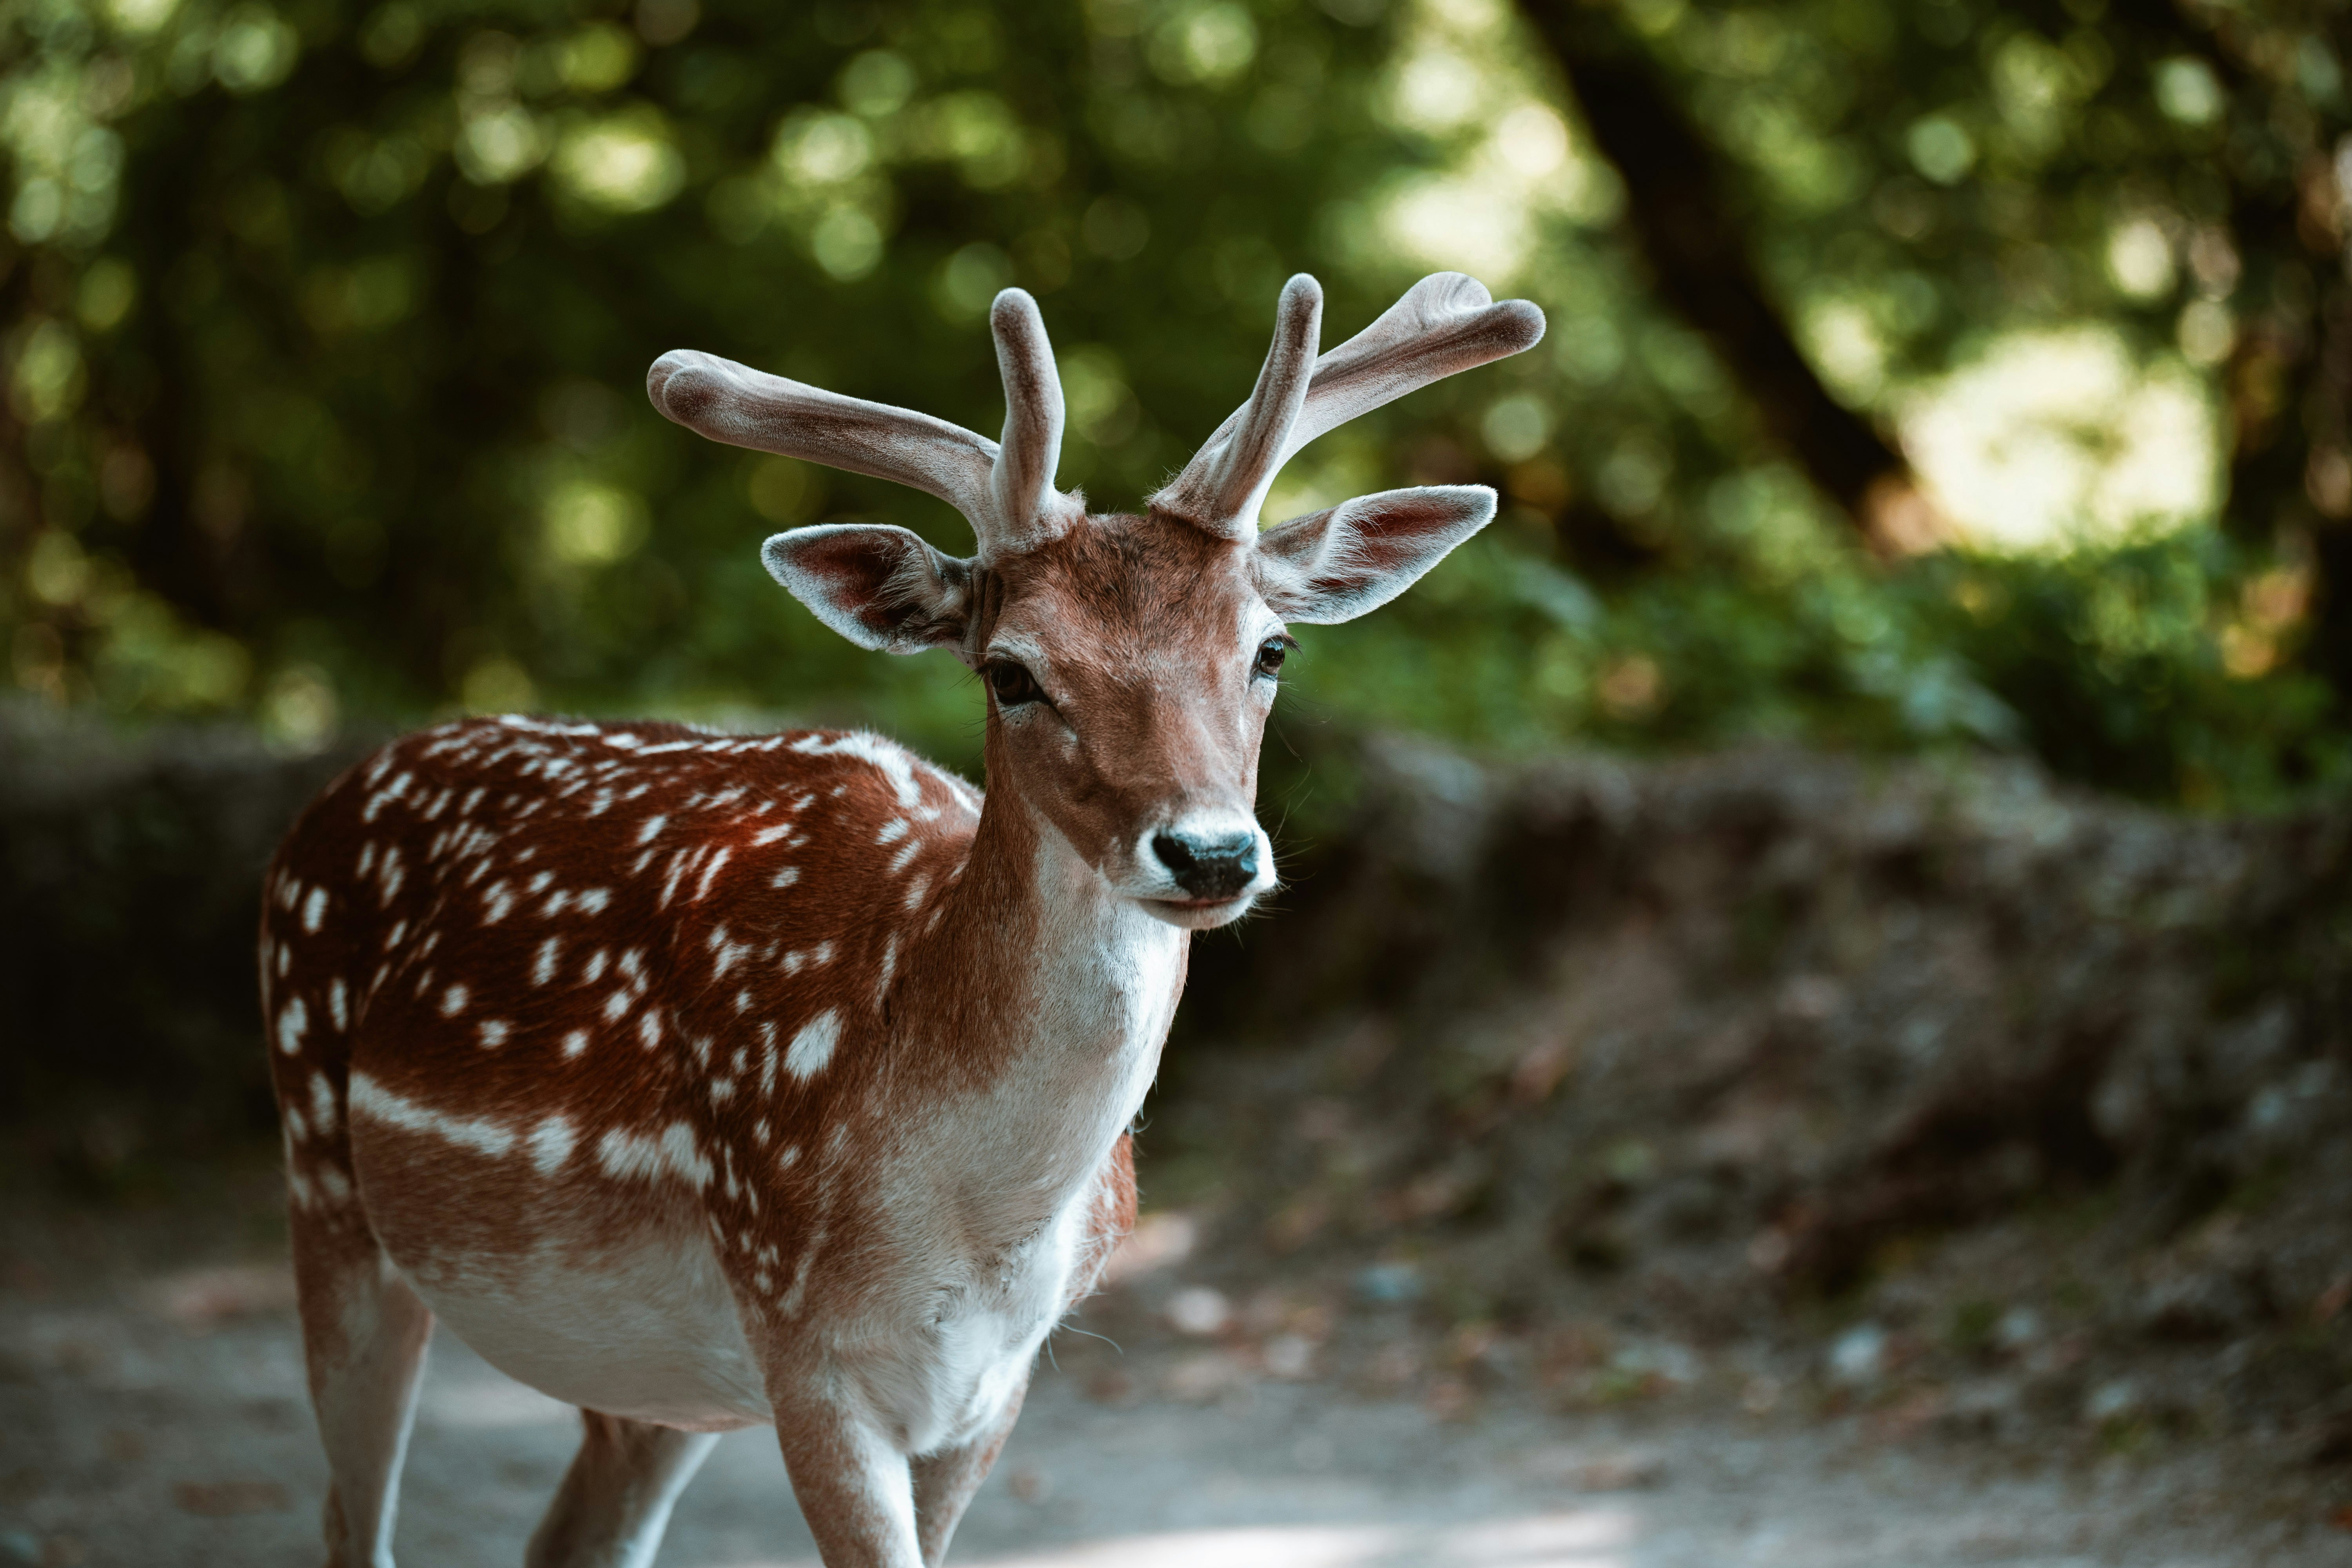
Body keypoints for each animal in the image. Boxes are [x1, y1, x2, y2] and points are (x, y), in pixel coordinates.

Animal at [259, 269, 1543, 1567]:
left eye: (1270, 649)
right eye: (1012, 671)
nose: (1210, 851)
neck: (976, 1229)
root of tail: (337, 792)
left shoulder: (994, 1386)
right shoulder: (801, 1340)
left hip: (654, 1383)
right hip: (326, 1187)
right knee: (347, 1516)